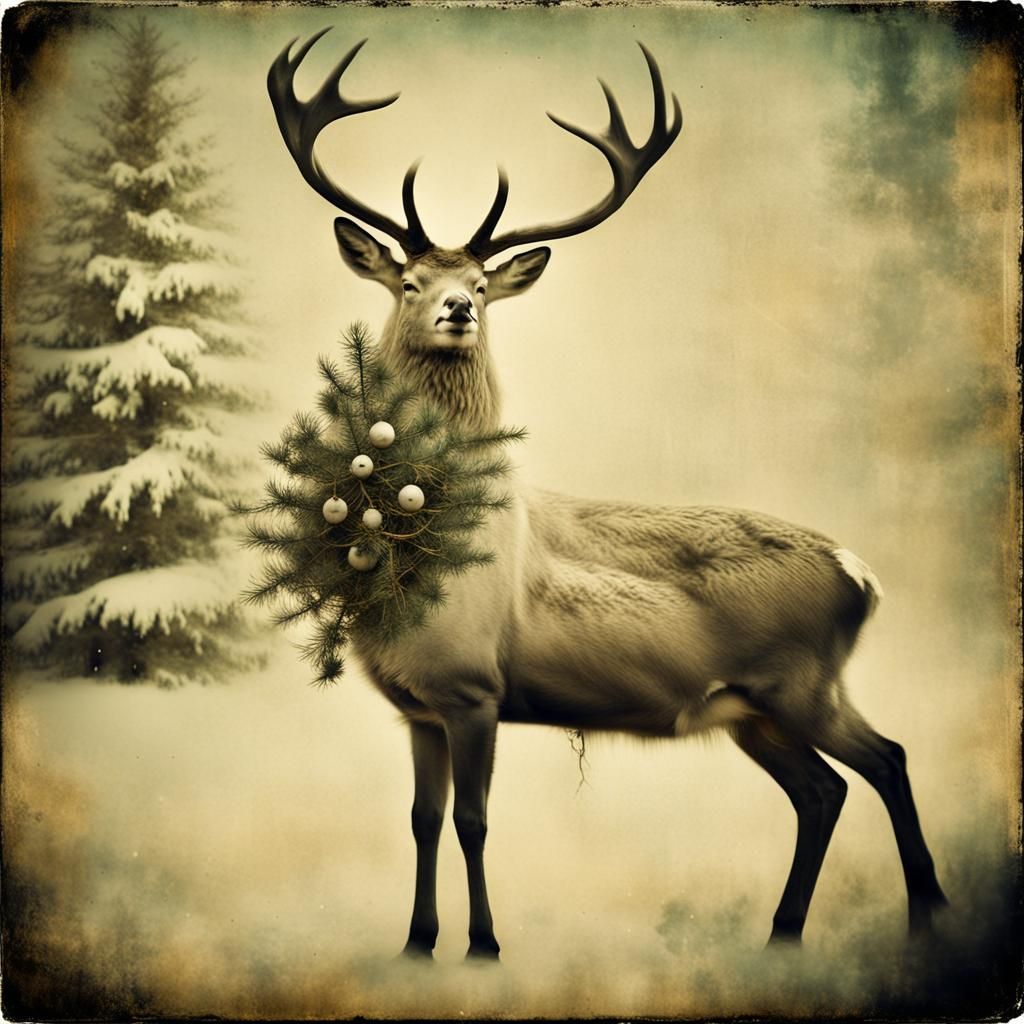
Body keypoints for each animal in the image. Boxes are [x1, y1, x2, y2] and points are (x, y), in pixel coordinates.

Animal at [267, 29, 947, 961]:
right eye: (408, 281)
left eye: (480, 285)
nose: (456, 309)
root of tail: (860, 572)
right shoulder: (418, 708)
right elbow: (422, 821)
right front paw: (415, 943)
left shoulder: (475, 688)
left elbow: (474, 822)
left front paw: (484, 945)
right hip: (752, 707)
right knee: (825, 789)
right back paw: (785, 933)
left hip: (801, 681)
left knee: (887, 759)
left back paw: (923, 916)